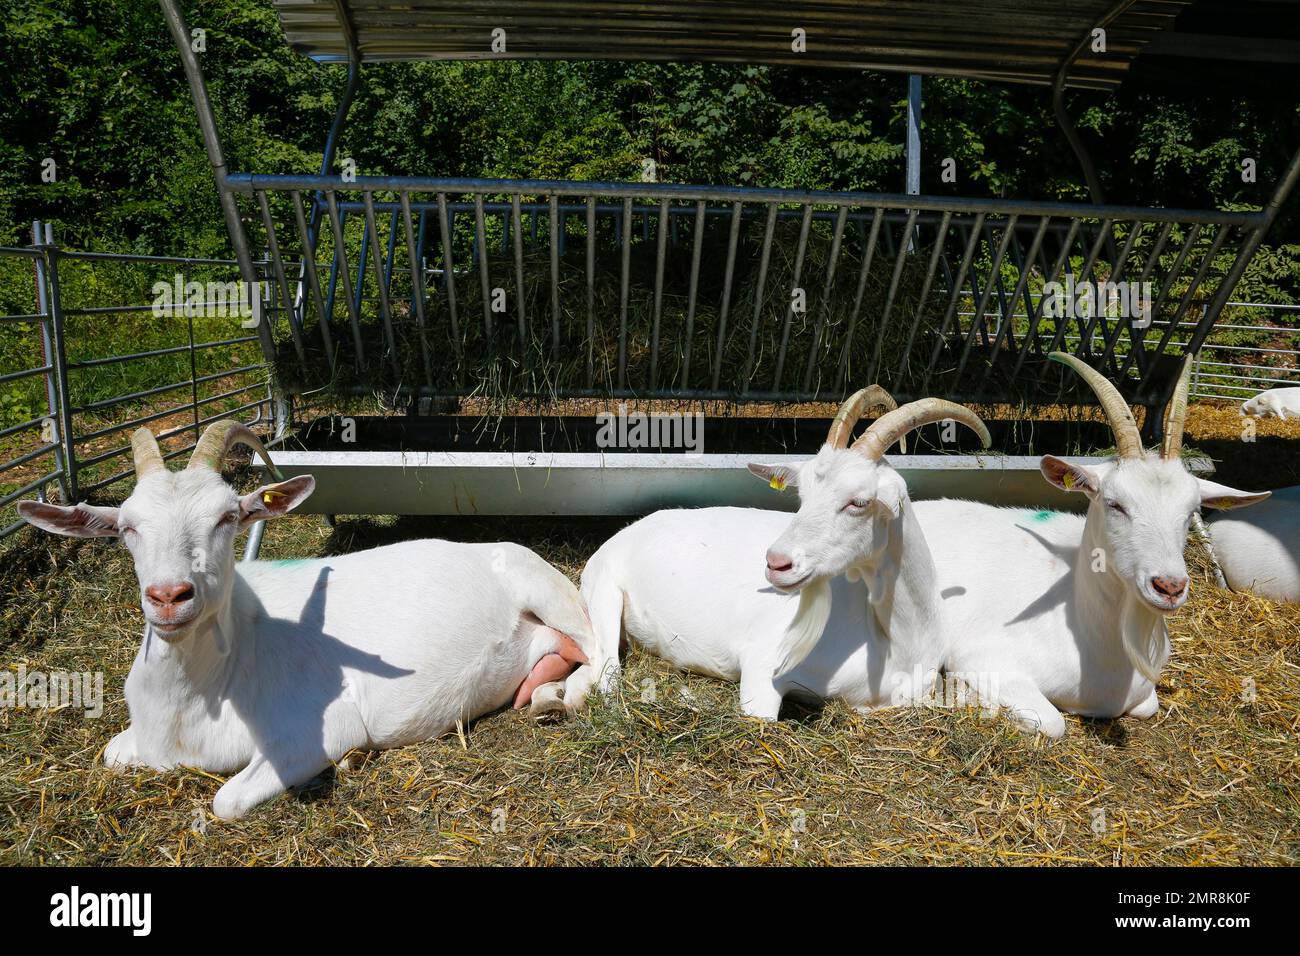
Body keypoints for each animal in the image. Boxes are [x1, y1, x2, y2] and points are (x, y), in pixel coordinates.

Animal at [18, 422, 594, 819]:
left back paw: (566, 692)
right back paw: (542, 688)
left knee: (598, 653)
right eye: (127, 527)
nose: (169, 596)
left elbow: (226, 801)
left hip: (545, 589)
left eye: (228, 517)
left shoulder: (322, 726)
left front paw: (349, 763)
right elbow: (110, 754)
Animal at [564, 391, 991, 719]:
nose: (777, 562)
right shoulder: (763, 663)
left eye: (859, 502)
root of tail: (626, 532)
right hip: (603, 592)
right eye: (802, 496)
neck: (896, 640)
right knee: (606, 672)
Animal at [913, 353, 1270, 737]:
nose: (1169, 587)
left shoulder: (1143, 693)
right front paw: (969, 696)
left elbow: (1149, 706)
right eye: (1115, 504)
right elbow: (1052, 722)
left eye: (1191, 511)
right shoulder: (981, 655)